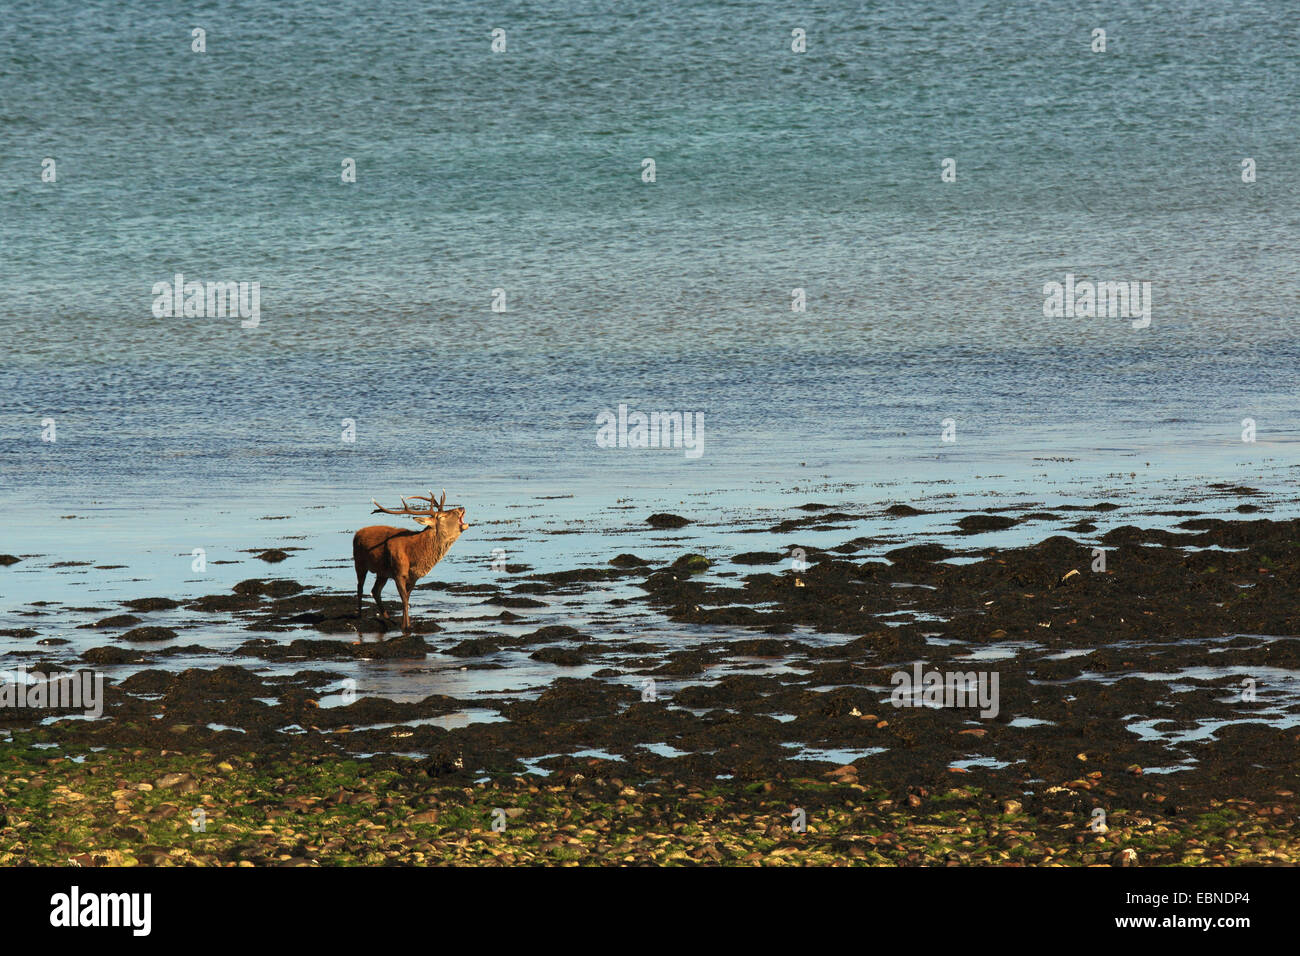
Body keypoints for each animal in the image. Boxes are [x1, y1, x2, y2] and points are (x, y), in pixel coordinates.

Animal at [353, 490, 469, 632]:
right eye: (442, 516)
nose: (461, 508)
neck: (415, 557)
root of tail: (357, 533)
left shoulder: (414, 577)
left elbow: (407, 598)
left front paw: (407, 623)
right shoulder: (398, 573)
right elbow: (403, 599)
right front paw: (406, 626)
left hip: (382, 572)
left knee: (375, 591)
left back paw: (388, 618)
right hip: (359, 562)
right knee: (360, 587)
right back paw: (359, 615)